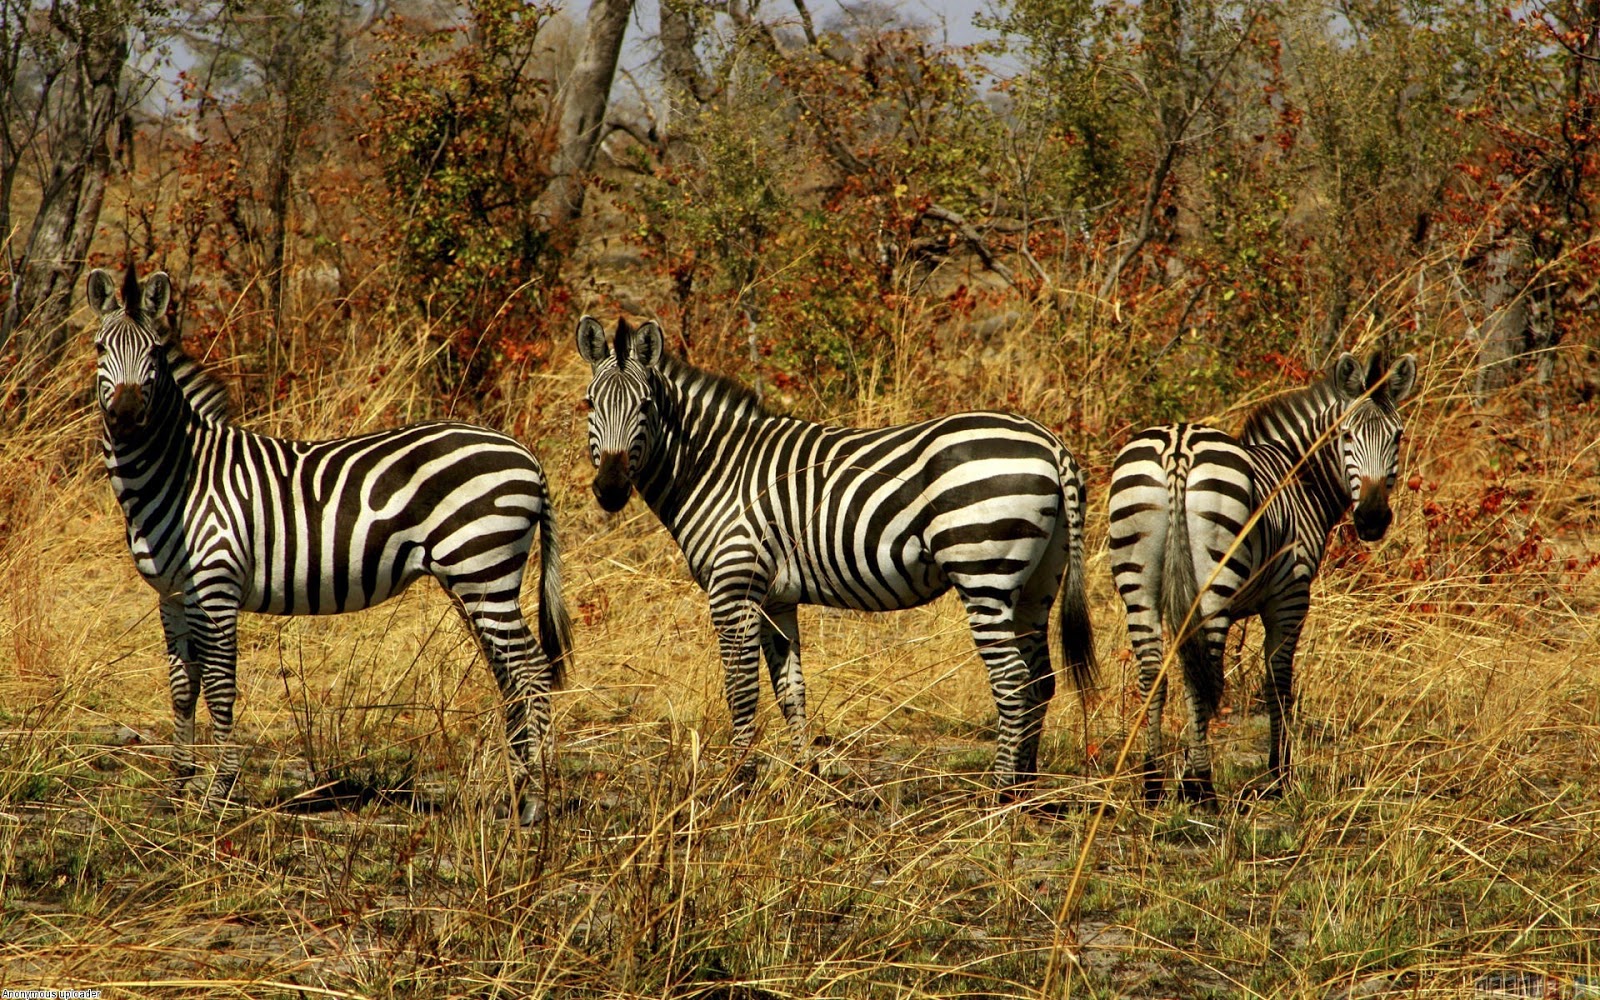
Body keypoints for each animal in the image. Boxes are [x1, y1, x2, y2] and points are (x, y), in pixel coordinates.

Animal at [89, 266, 573, 823]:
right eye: (100, 348)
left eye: (153, 354)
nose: (127, 416)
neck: (181, 473)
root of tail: (526, 454)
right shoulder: (170, 595)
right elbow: (183, 687)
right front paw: (175, 789)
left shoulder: (216, 587)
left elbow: (220, 685)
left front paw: (219, 793)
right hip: (475, 581)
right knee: (510, 673)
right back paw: (518, 790)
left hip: (483, 572)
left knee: (532, 670)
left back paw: (537, 799)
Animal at [575, 315, 1097, 789]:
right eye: (590, 404)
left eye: (646, 406)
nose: (610, 489)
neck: (717, 468)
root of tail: (1049, 443)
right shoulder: (776, 599)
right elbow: (790, 689)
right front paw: (803, 775)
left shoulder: (735, 587)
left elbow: (741, 689)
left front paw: (736, 780)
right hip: (1036, 582)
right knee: (1039, 679)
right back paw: (1025, 789)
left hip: (982, 569)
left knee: (1011, 682)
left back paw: (999, 792)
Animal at [1108, 351, 1418, 807]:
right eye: (1345, 436)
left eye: (1397, 437)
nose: (1373, 519)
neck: (1299, 478)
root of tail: (1178, 446)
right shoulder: (1290, 599)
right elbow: (1278, 683)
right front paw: (1279, 774)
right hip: (1213, 583)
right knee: (1204, 675)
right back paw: (1201, 788)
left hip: (1138, 583)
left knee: (1153, 673)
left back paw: (1153, 782)